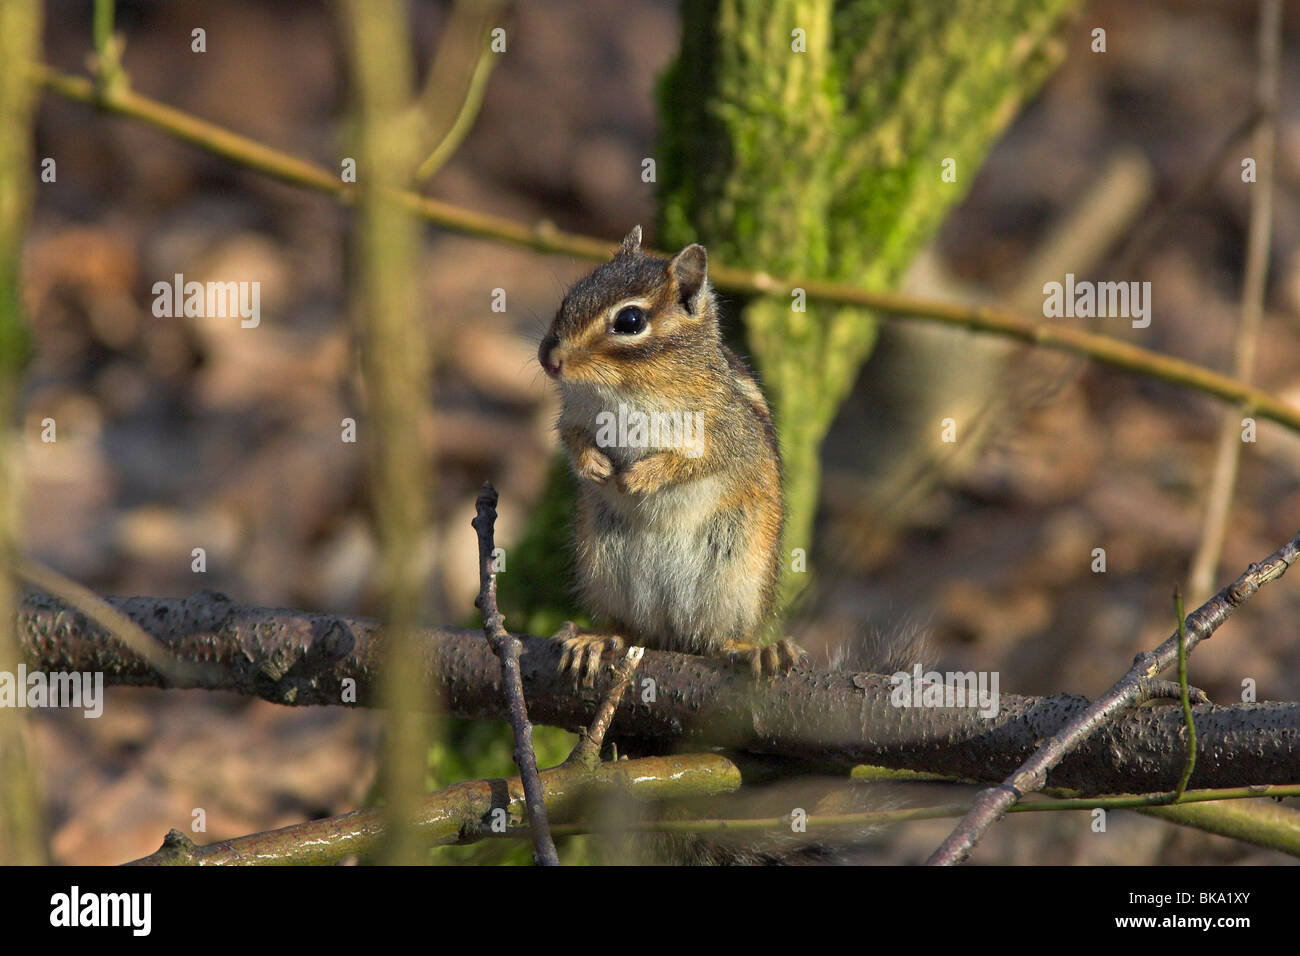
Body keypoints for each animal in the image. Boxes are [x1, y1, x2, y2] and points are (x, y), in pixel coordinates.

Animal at [538, 225, 805, 683]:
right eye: (571, 295)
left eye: (629, 321)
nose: (548, 358)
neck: (626, 390)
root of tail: (670, 633)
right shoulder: (575, 415)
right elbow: (571, 436)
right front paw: (593, 465)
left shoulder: (726, 433)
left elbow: (696, 462)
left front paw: (641, 476)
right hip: (603, 566)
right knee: (626, 627)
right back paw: (597, 639)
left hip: (740, 578)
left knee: (724, 637)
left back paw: (755, 650)